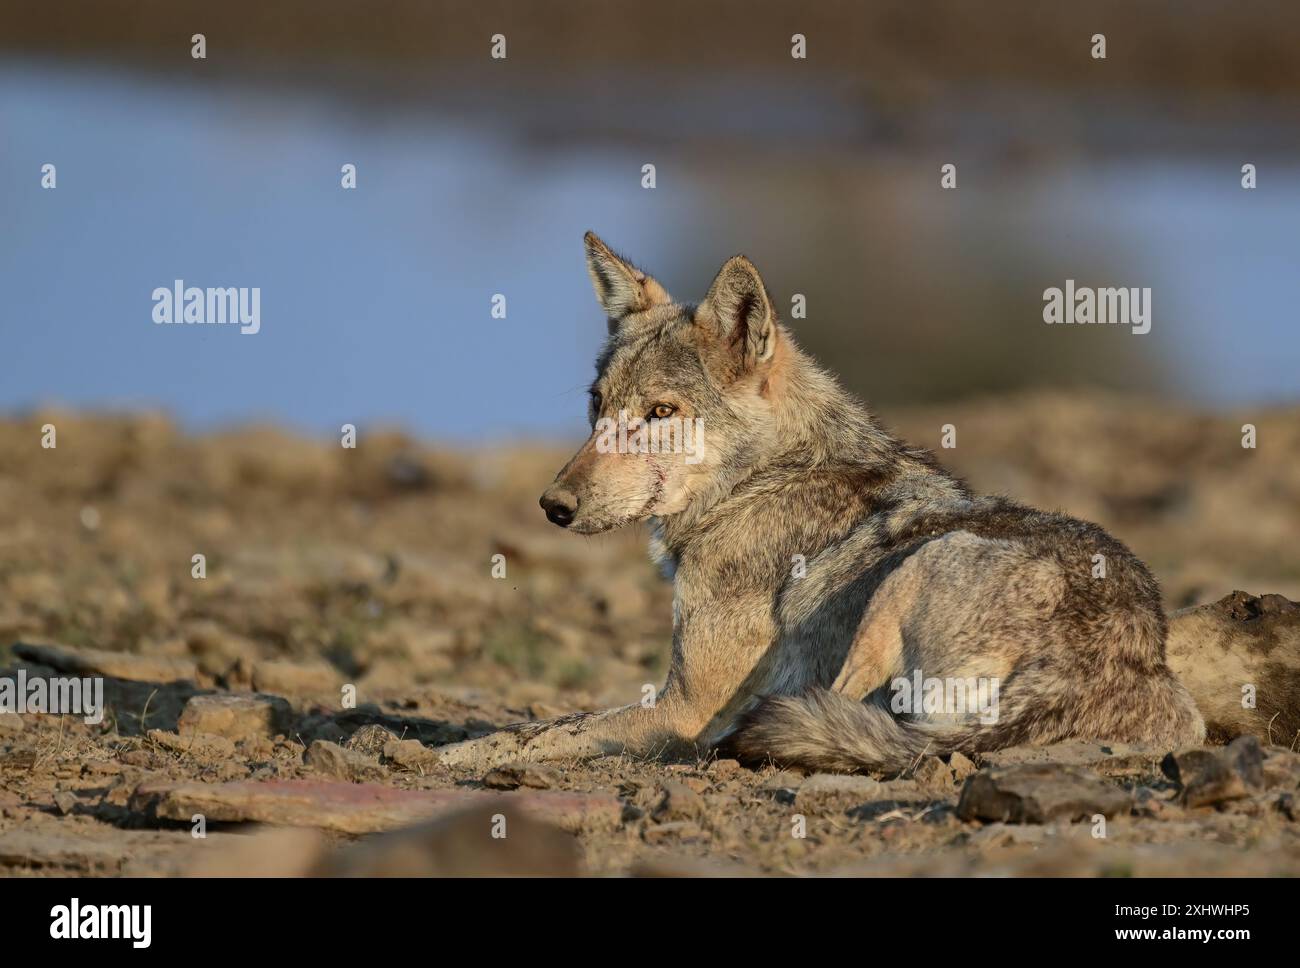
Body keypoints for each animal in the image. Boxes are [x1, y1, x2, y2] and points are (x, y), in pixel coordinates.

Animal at [434, 231, 1206, 773]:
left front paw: (441, 756)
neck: (757, 482)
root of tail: (1099, 664)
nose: (552, 506)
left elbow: (530, 735)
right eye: (598, 406)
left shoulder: (685, 705)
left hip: (914, 570)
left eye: (660, 412)